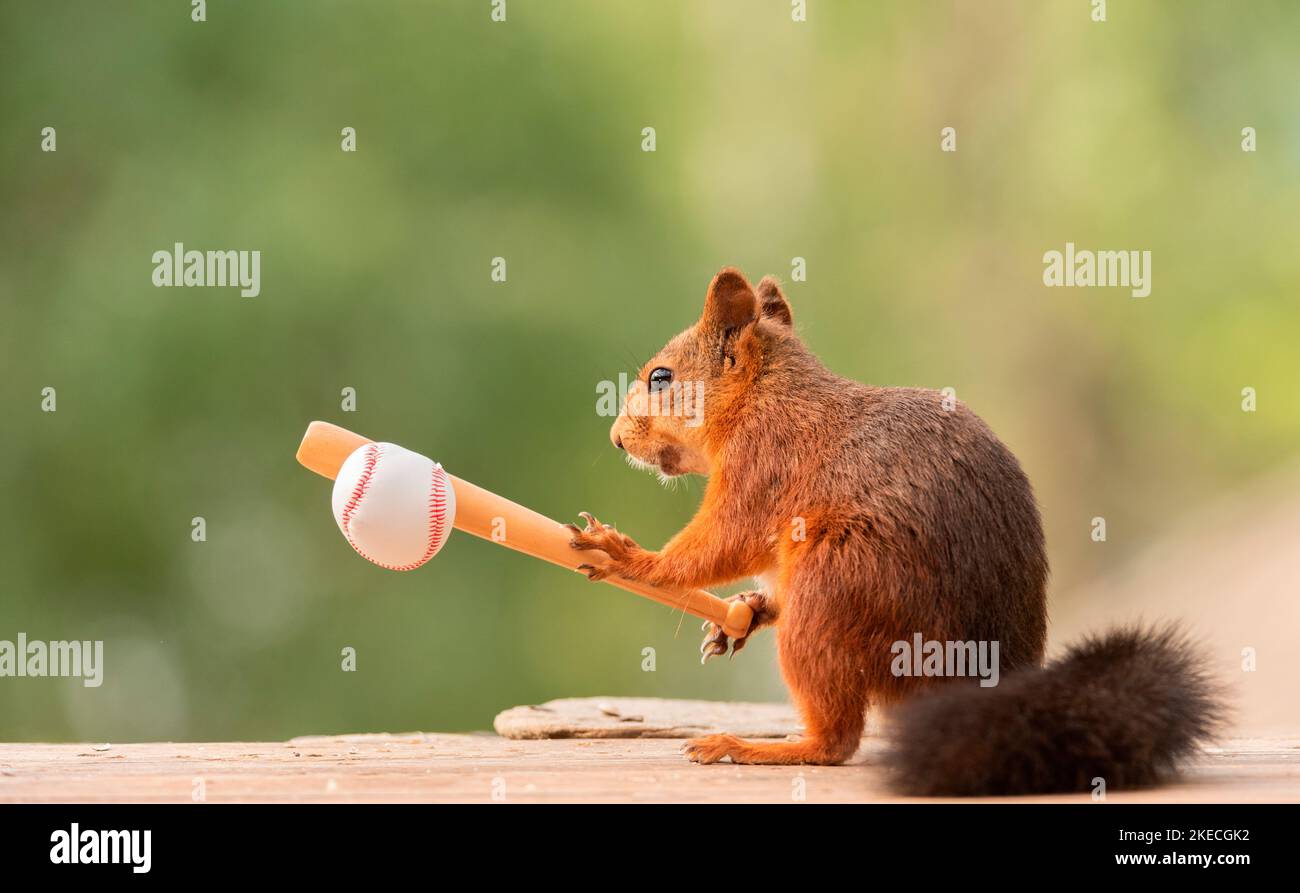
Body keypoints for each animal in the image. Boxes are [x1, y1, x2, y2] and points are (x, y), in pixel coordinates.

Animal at [567, 266, 1222, 795]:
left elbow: (721, 543)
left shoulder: (763, 467)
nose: (616, 439)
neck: (765, 397)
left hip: (838, 583)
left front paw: (630, 557)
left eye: (661, 378)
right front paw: (746, 610)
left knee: (837, 742)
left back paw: (753, 747)